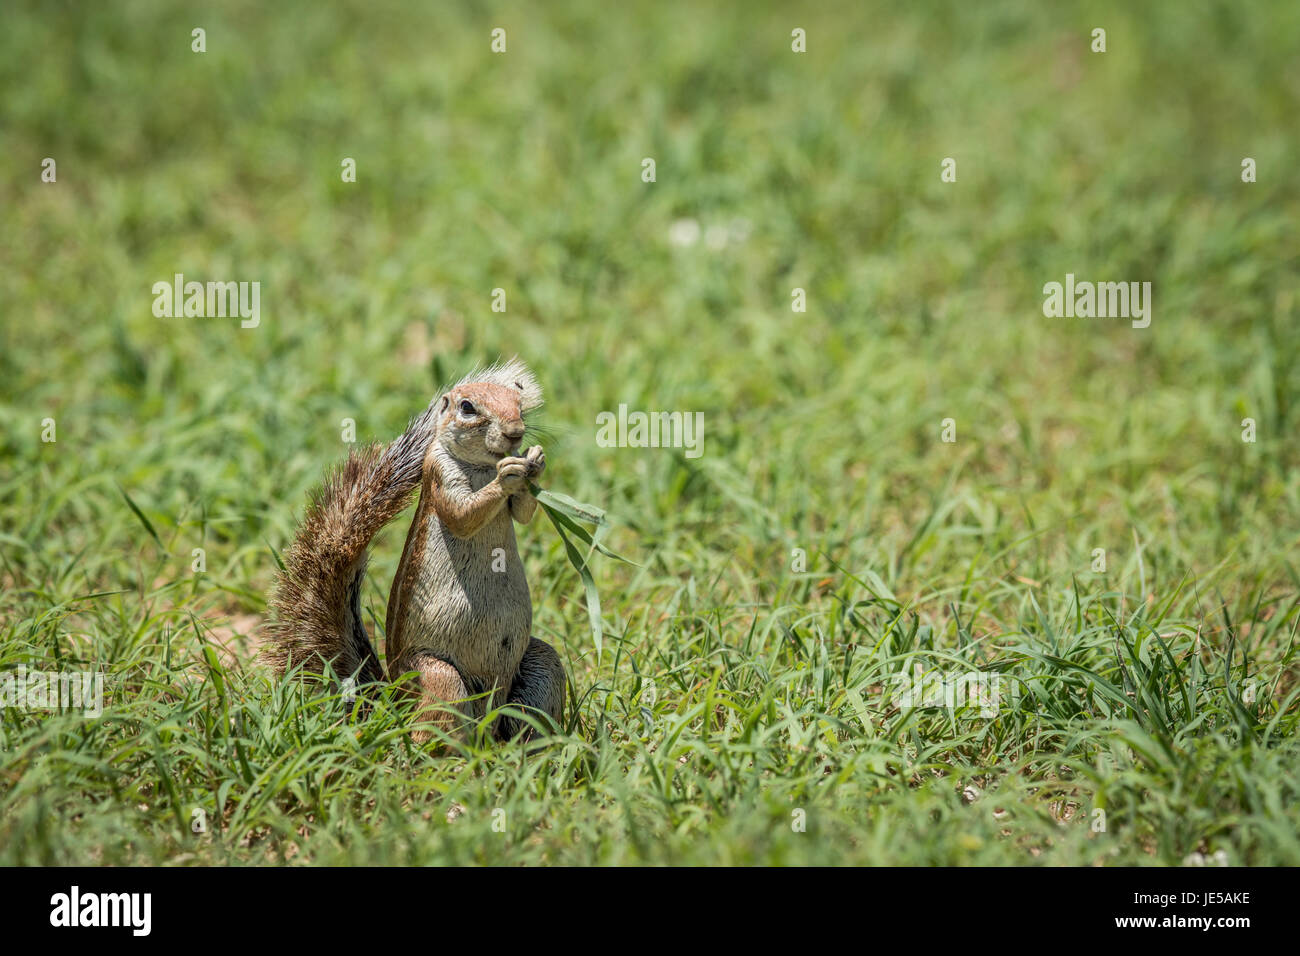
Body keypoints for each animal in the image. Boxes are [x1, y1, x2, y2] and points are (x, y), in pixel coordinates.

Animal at [264, 358, 566, 742]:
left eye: (518, 402)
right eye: (467, 407)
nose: (515, 431)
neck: (483, 465)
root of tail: (393, 701)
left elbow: (524, 514)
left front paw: (535, 461)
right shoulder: (438, 472)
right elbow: (463, 514)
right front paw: (508, 474)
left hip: (541, 663)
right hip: (438, 676)